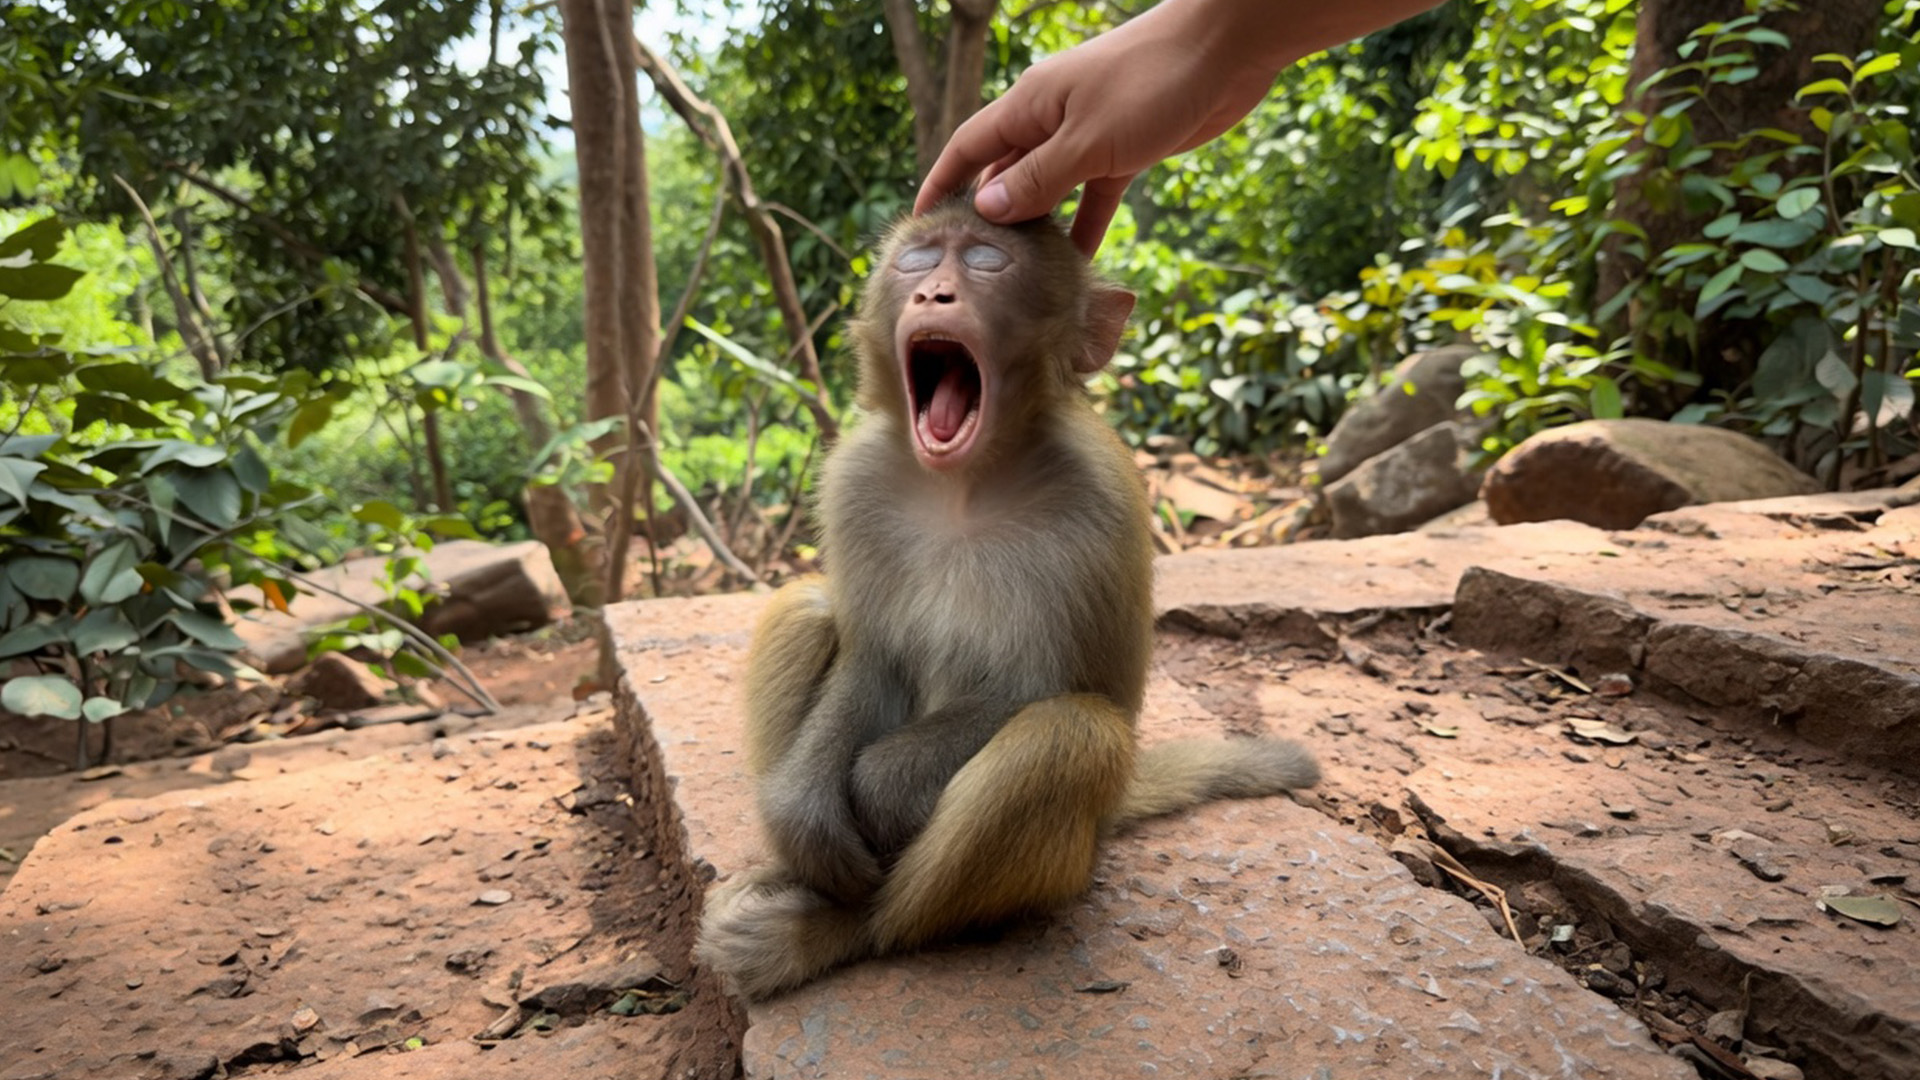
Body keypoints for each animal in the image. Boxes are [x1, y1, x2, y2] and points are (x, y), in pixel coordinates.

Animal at [694, 199, 1318, 1001]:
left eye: (987, 261)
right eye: (920, 258)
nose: (935, 293)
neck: (966, 485)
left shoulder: (1100, 502)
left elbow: (1043, 689)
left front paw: (882, 790)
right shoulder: (854, 480)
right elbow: (872, 658)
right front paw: (804, 818)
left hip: (1068, 857)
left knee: (1071, 734)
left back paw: (843, 926)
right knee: (805, 609)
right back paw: (802, 882)